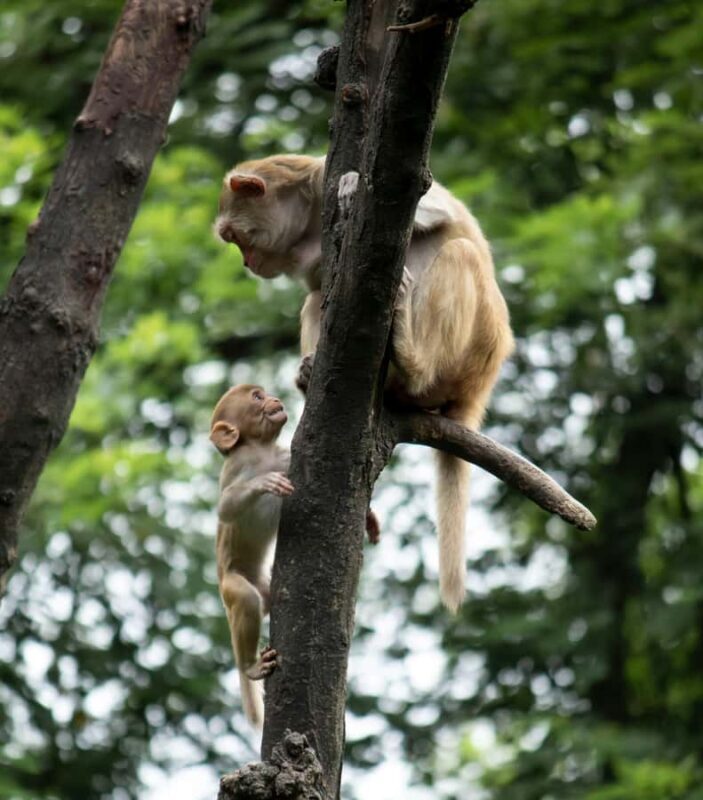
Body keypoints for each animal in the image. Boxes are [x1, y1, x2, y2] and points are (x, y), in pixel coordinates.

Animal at [214, 155, 514, 613]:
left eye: (234, 237)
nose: (246, 262)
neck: (307, 224)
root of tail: (478, 386)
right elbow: (320, 289)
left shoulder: (322, 173)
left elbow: (435, 210)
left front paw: (355, 187)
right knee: (316, 298)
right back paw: (314, 377)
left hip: (469, 353)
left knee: (460, 254)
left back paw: (411, 365)